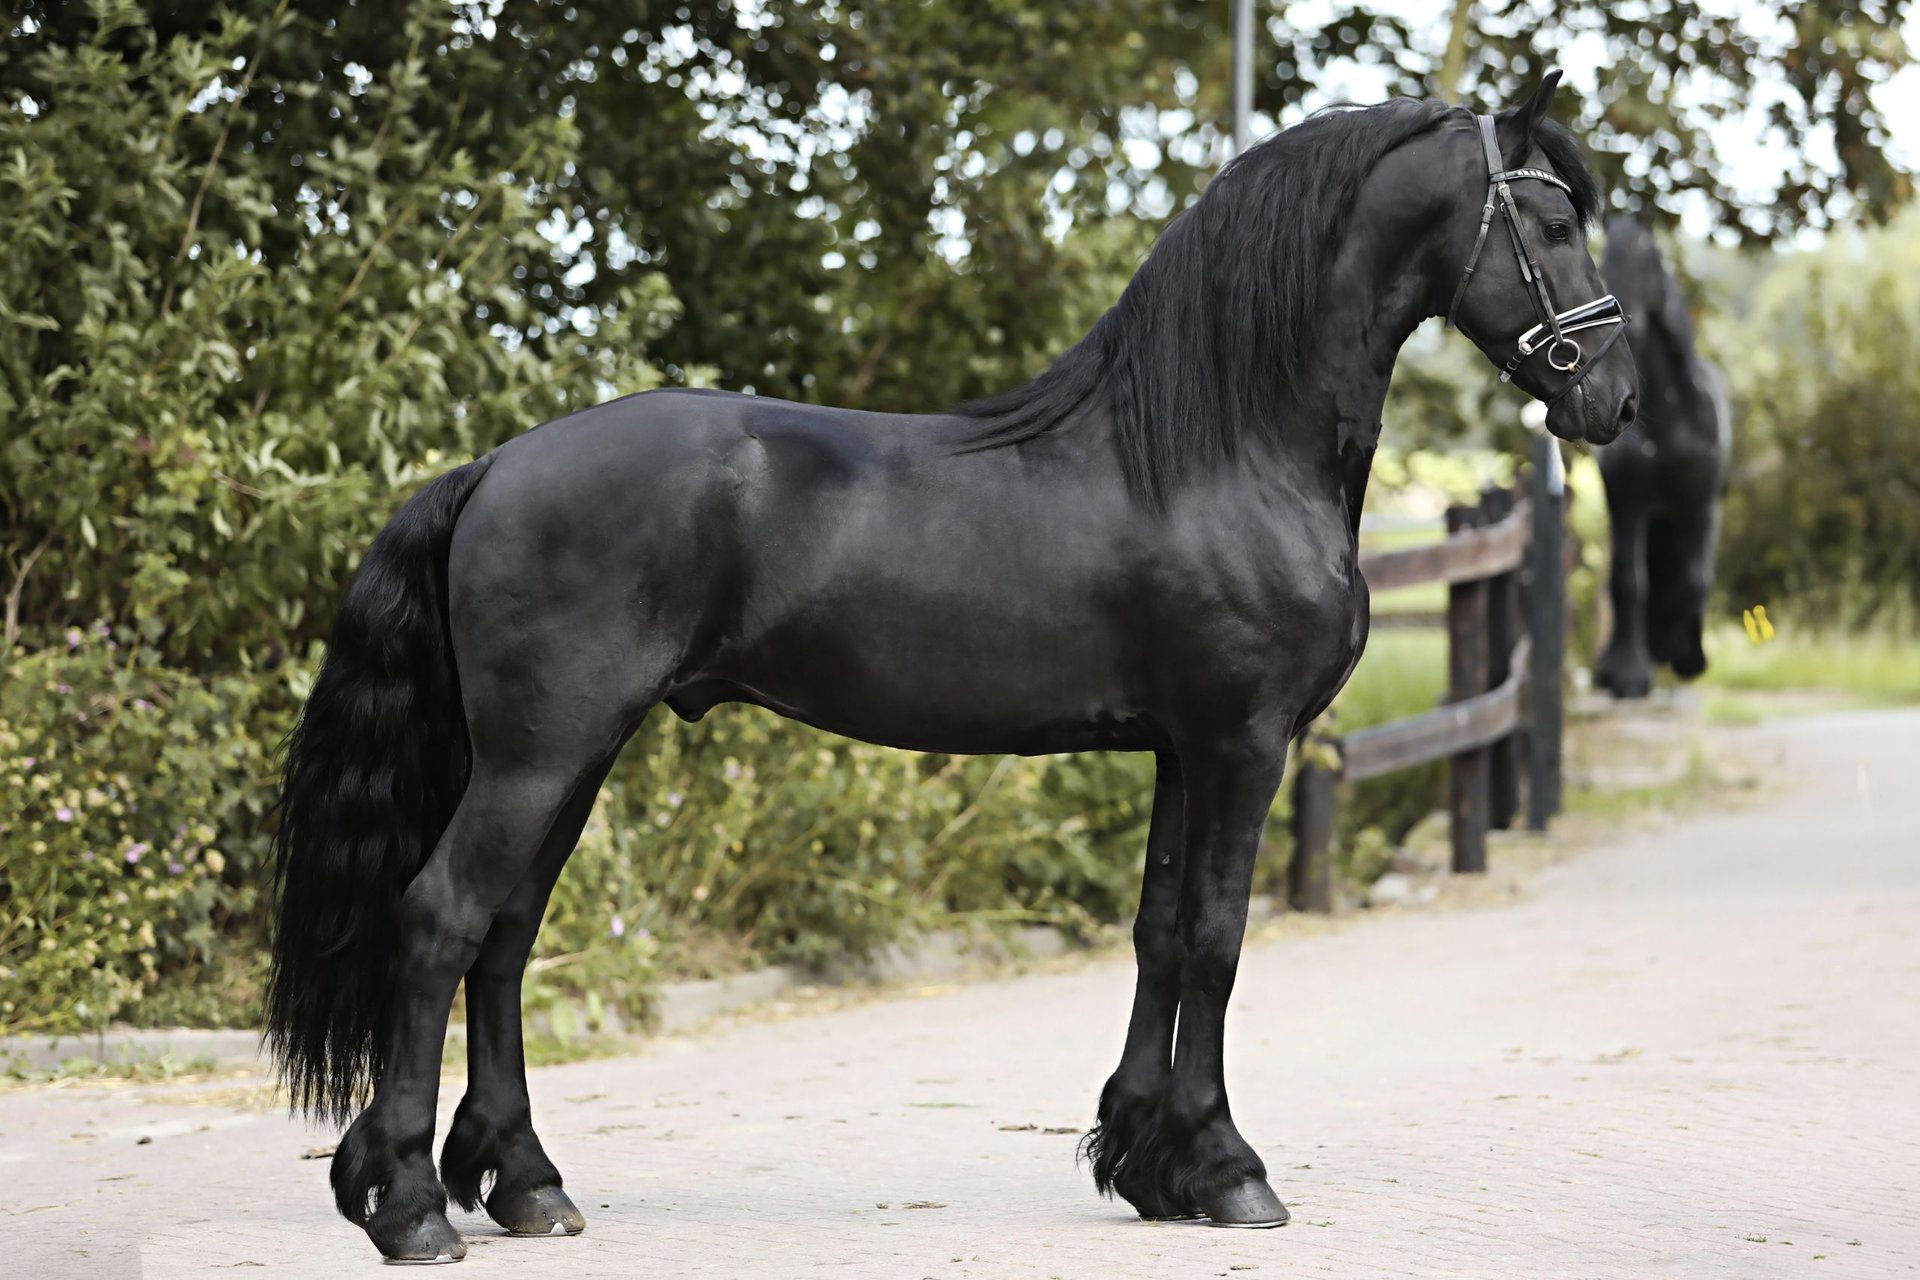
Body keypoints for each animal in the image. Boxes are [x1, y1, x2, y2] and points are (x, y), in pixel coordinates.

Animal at [266, 72, 1636, 1261]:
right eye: (1554, 220)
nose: (1613, 401)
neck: (1217, 445)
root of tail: (495, 464)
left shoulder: (1179, 747)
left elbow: (1159, 932)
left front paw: (1146, 1162)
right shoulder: (1244, 741)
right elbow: (1218, 939)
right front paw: (1229, 1168)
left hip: (579, 748)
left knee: (502, 938)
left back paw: (527, 1184)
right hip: (538, 752)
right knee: (441, 918)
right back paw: (411, 1207)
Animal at [1592, 213, 1732, 698]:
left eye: (1649, 259)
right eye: (1605, 257)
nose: (1619, 324)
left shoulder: (1698, 505)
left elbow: (1695, 580)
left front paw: (1685, 656)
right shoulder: (1628, 502)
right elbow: (1628, 583)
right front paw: (1627, 675)